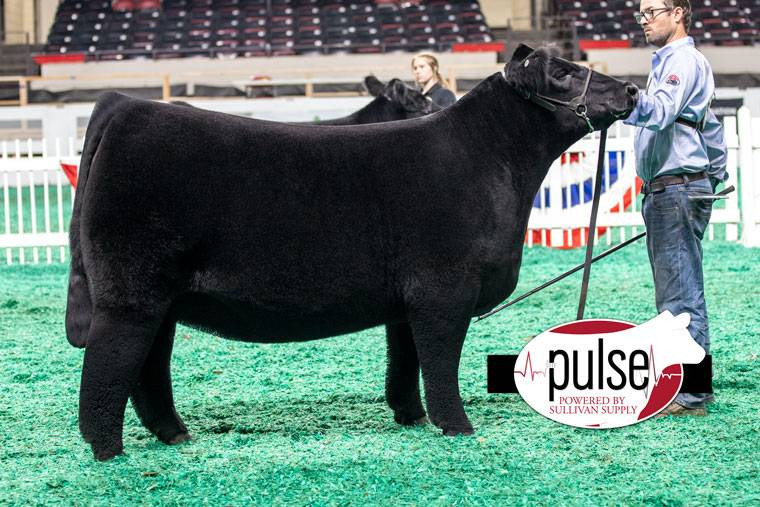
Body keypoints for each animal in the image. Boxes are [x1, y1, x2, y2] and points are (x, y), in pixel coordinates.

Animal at [65, 44, 638, 460]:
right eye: (561, 73)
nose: (632, 87)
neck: (489, 159)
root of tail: (125, 106)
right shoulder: (445, 291)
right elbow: (441, 363)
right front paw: (457, 427)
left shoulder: (408, 302)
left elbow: (405, 362)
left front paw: (412, 418)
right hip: (131, 294)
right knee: (107, 368)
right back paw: (109, 451)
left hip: (161, 299)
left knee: (148, 369)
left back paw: (175, 434)